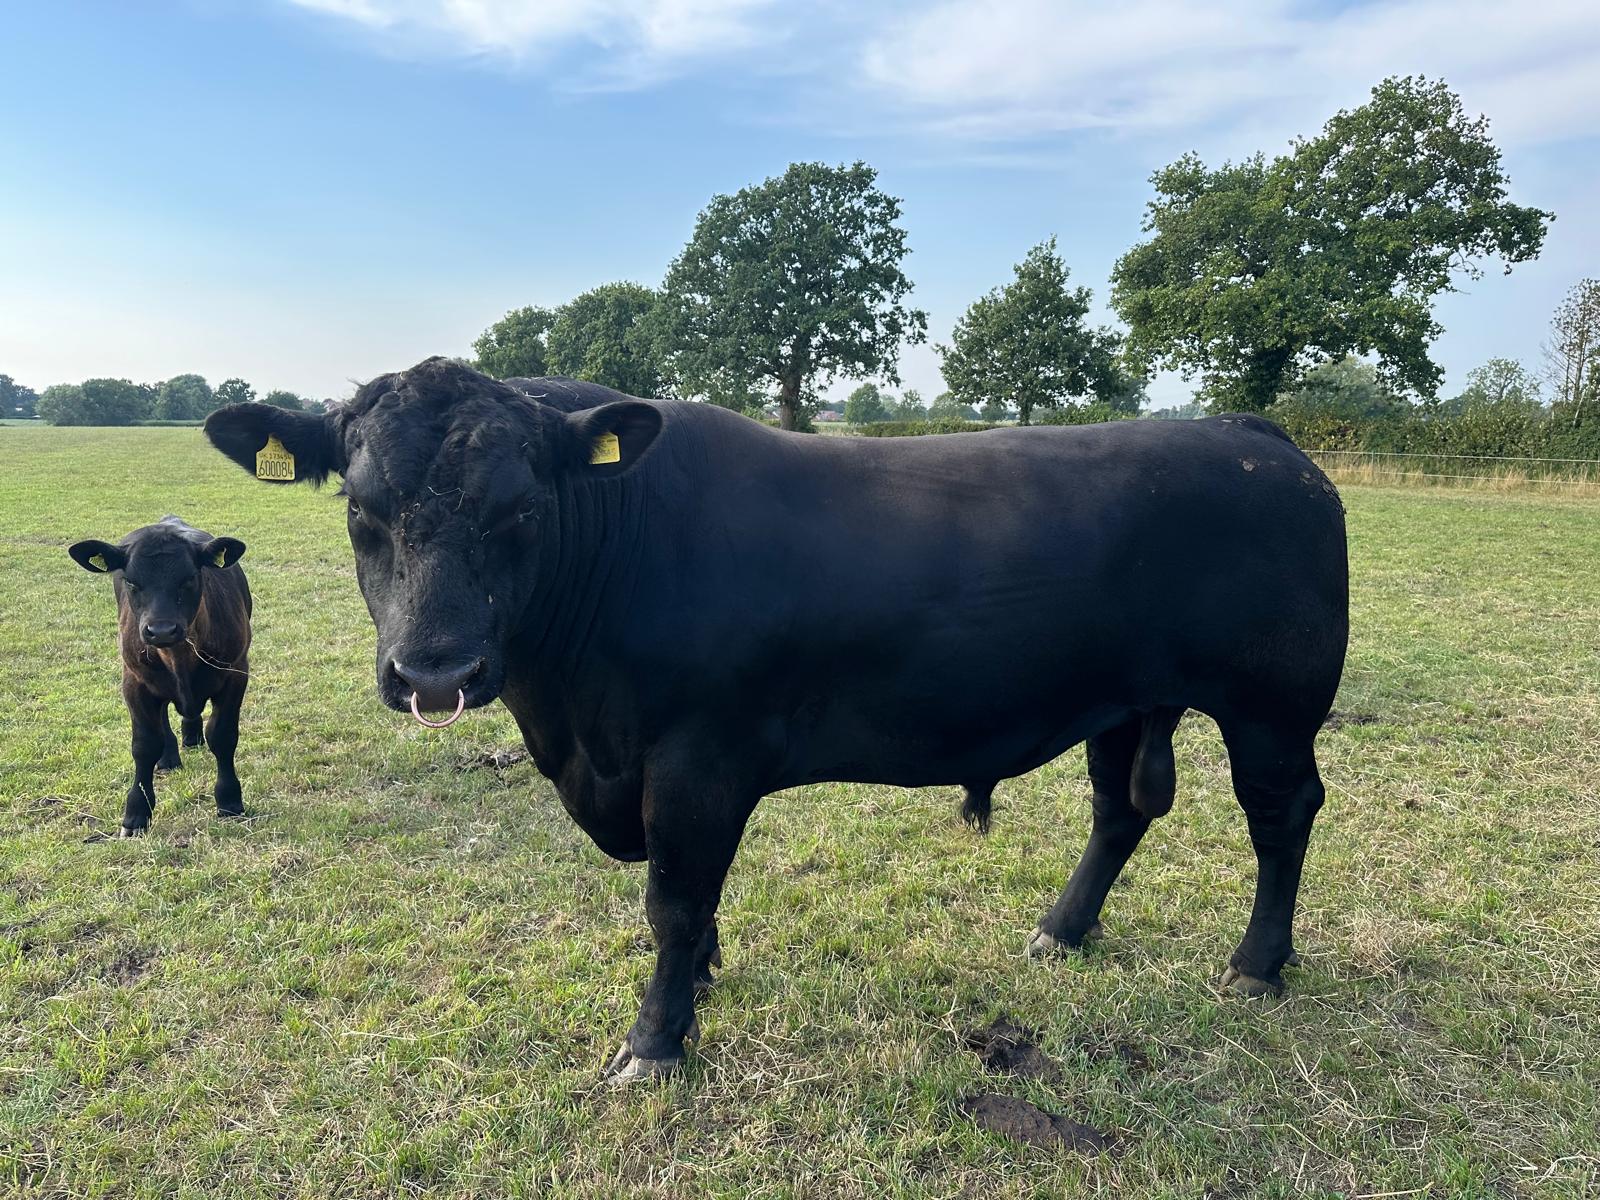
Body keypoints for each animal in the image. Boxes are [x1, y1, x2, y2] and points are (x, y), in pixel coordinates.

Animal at [68, 517, 251, 836]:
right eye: (131, 581)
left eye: (189, 578)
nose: (162, 630)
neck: (180, 657)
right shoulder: (134, 682)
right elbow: (144, 745)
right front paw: (136, 813)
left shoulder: (236, 673)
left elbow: (222, 735)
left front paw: (229, 800)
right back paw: (169, 757)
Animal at [205, 357, 1348, 1082]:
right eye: (361, 511)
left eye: (521, 512)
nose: (433, 671)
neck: (574, 728)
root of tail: (1250, 435)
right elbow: (694, 902)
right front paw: (702, 984)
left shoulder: (697, 762)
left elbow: (672, 900)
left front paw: (654, 1044)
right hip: (1122, 698)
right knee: (1119, 811)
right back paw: (1060, 931)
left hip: (1272, 707)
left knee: (1281, 814)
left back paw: (1255, 964)